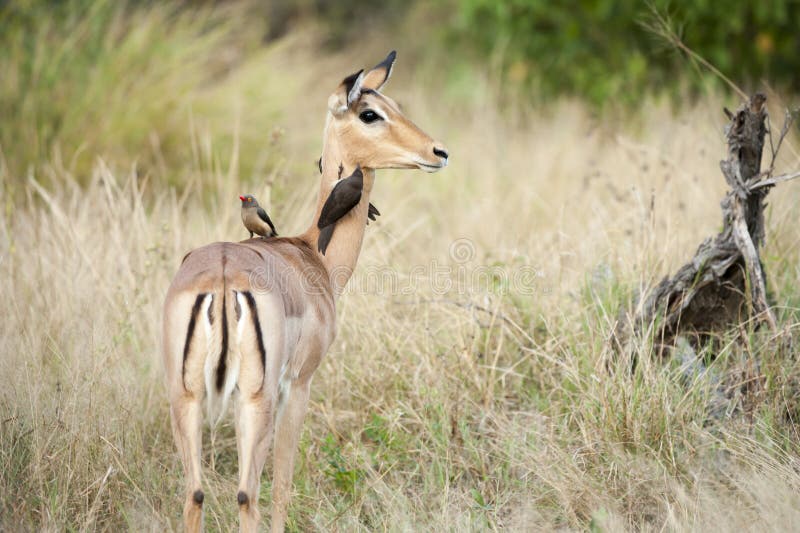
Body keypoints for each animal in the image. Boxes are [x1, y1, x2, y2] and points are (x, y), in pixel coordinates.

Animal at [162, 50, 449, 532]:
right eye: (370, 113)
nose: (438, 152)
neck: (314, 256)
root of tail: (222, 281)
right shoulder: (298, 385)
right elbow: (282, 484)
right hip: (253, 399)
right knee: (248, 494)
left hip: (186, 396)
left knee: (195, 493)